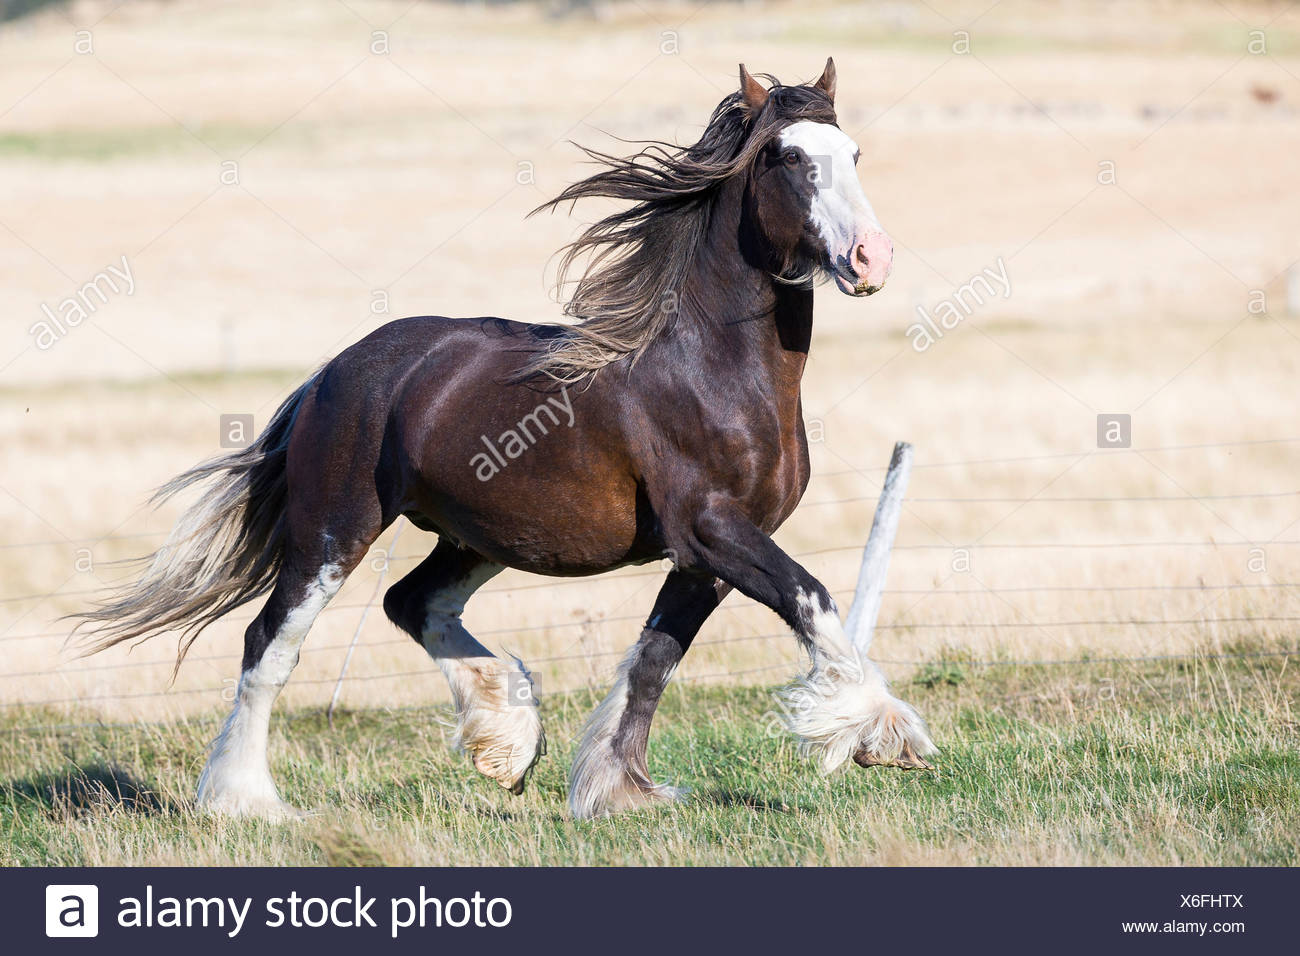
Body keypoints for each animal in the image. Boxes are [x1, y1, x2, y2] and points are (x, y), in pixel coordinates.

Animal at [75, 58, 935, 821]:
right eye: (788, 158)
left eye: (854, 153)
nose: (872, 258)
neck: (707, 368)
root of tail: (334, 371)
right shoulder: (712, 528)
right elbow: (812, 597)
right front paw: (884, 733)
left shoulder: (704, 556)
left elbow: (655, 661)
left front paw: (613, 791)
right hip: (333, 529)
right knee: (269, 643)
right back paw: (246, 801)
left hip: (476, 534)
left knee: (410, 602)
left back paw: (508, 740)